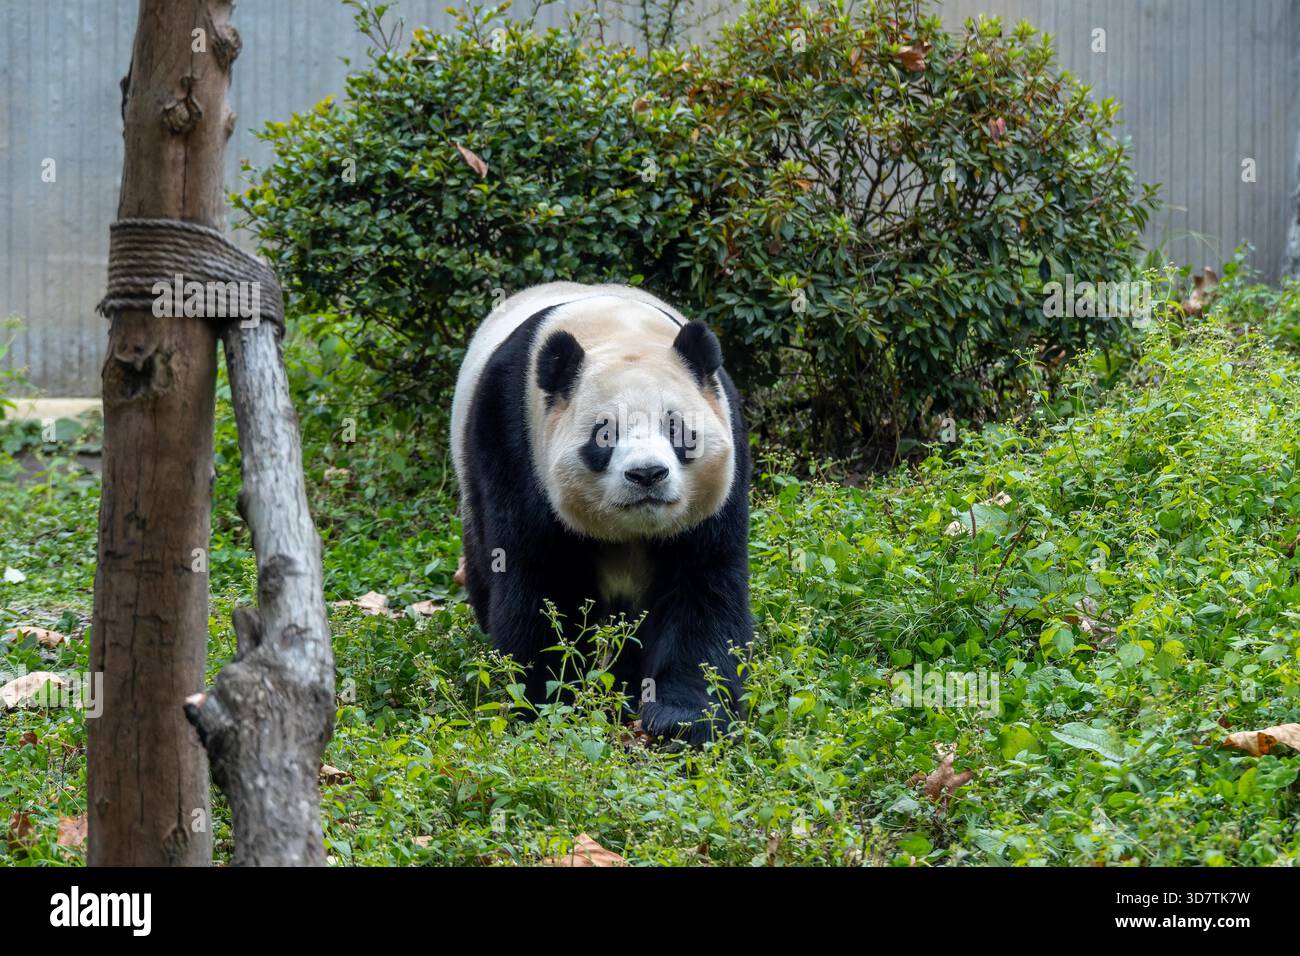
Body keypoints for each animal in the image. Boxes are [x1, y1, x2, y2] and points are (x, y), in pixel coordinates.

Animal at [450, 282, 752, 743]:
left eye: (677, 430)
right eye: (604, 435)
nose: (647, 474)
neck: (616, 328)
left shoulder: (721, 477)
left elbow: (703, 587)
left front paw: (682, 718)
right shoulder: (513, 442)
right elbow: (539, 582)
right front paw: (545, 704)